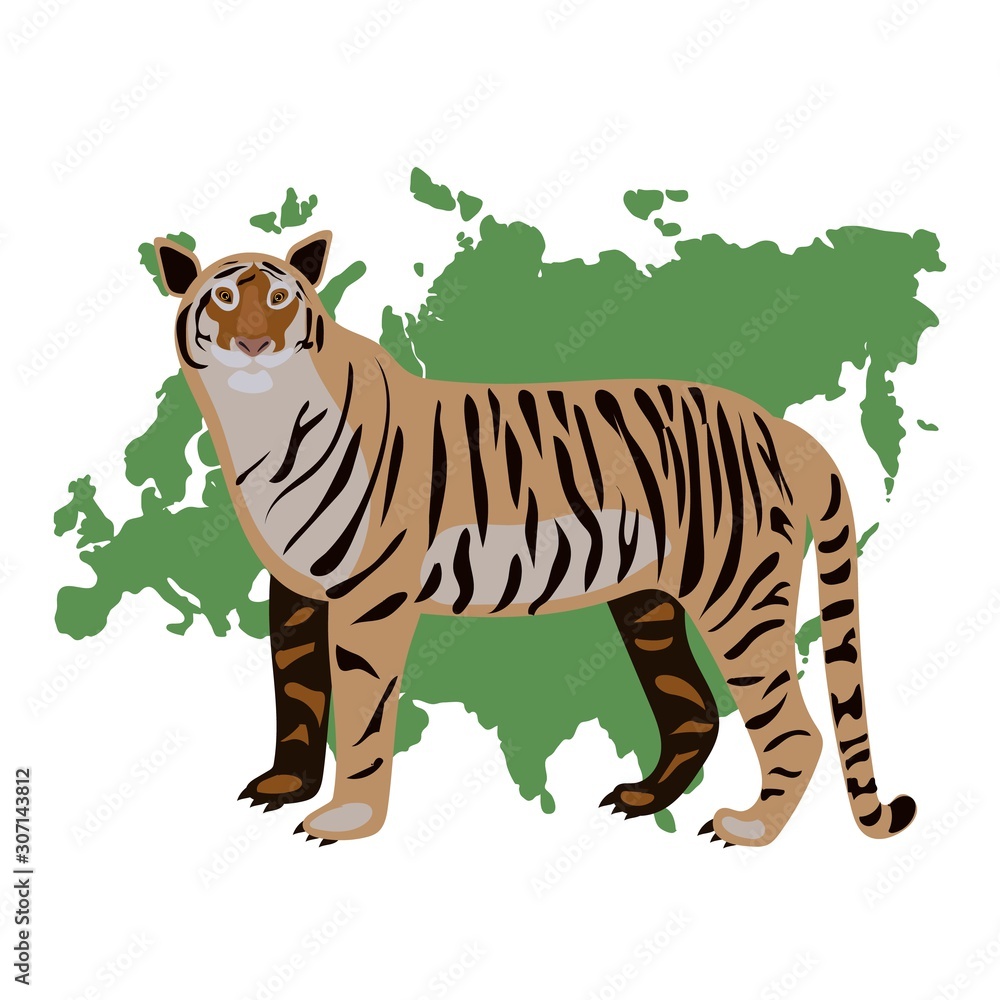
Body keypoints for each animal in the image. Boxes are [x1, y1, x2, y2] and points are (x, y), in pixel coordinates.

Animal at [154, 230, 916, 848]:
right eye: (224, 297)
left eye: (282, 297)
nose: (254, 345)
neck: (261, 424)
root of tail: (783, 428)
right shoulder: (294, 588)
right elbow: (297, 691)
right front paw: (284, 786)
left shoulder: (371, 601)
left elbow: (363, 713)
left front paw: (347, 819)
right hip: (649, 602)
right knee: (696, 712)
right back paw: (643, 799)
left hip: (739, 596)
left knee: (794, 728)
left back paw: (750, 828)